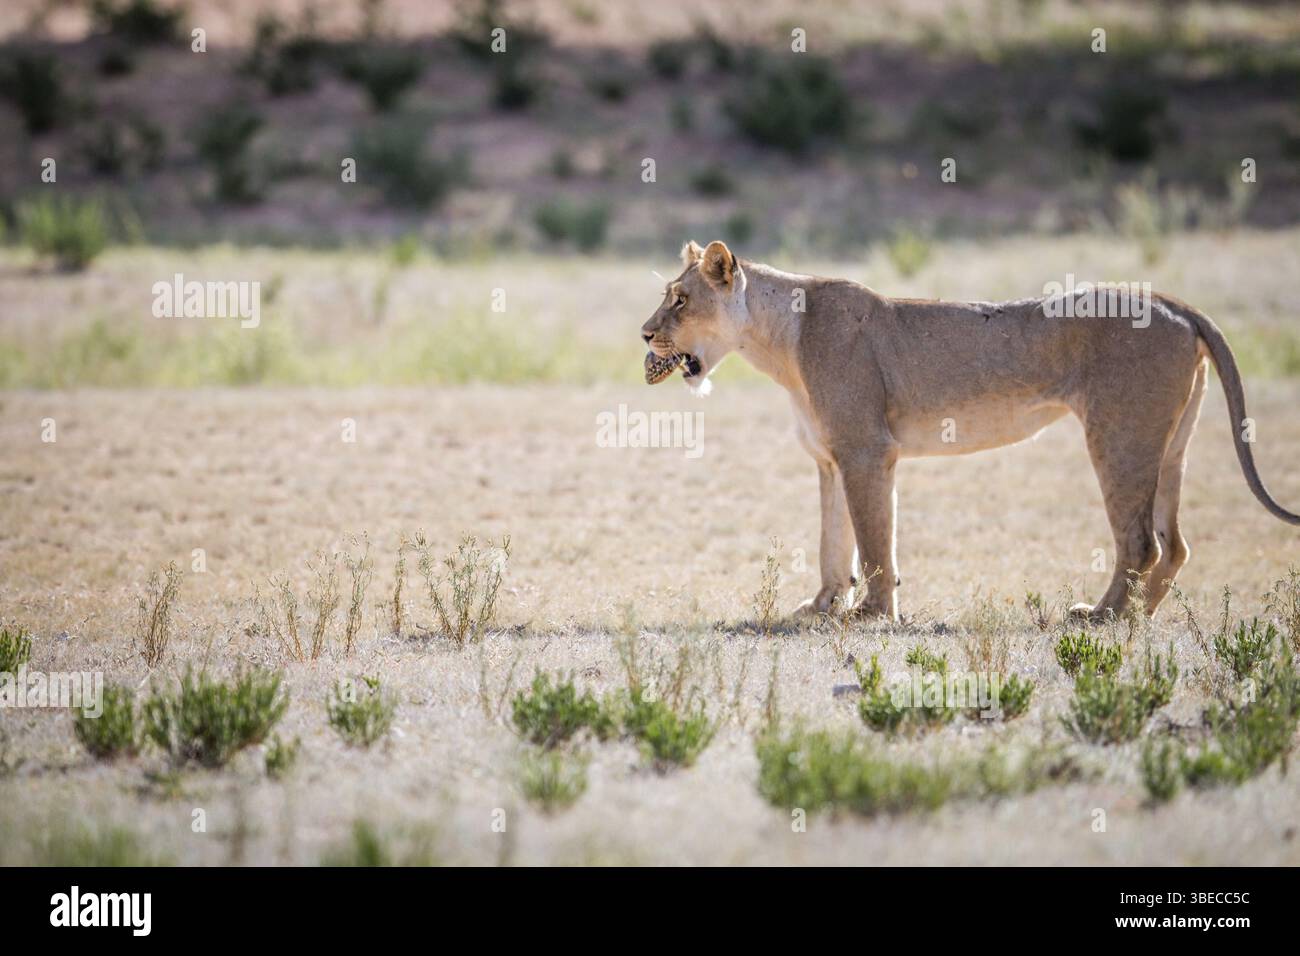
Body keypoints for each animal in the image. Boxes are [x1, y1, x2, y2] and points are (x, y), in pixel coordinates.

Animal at [640, 239, 1300, 622]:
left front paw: (873, 614)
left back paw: (1102, 617)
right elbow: (834, 541)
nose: (645, 334)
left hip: (1119, 436)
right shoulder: (830, 458)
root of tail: (1174, 302)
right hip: (1171, 444)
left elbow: (874, 541)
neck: (779, 343)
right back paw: (1139, 617)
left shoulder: (866, 452)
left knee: (1141, 543)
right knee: (1176, 543)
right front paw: (823, 605)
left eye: (680, 299)